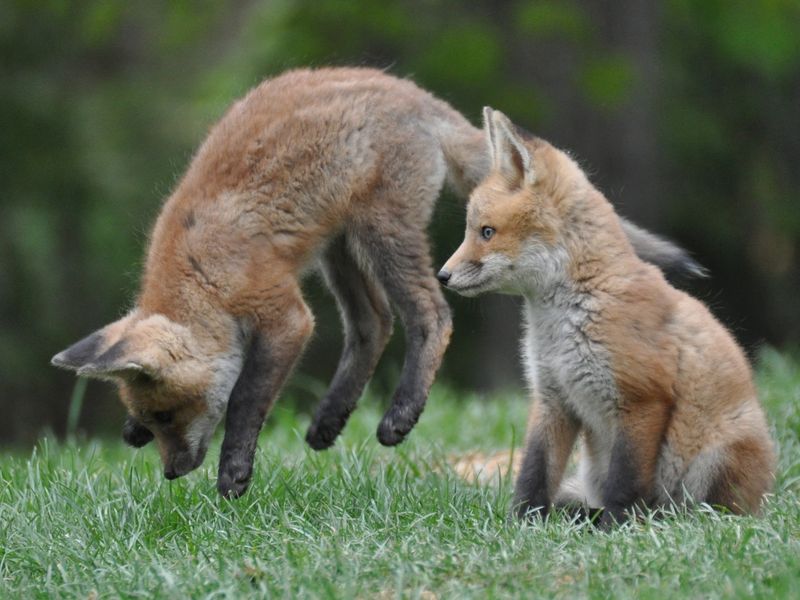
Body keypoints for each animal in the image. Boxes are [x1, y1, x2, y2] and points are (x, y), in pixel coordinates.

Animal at [51, 67, 704, 499]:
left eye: (167, 417)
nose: (170, 472)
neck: (200, 273)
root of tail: (412, 93)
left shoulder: (285, 316)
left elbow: (244, 399)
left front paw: (233, 472)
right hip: (338, 247)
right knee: (374, 324)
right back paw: (330, 419)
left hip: (379, 234)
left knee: (429, 314)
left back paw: (401, 414)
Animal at [438, 107, 776, 526]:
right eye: (473, 231)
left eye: (487, 232)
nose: (442, 276)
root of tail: (762, 500)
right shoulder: (552, 398)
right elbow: (534, 471)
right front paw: (522, 522)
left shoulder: (642, 397)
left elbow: (625, 480)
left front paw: (614, 528)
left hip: (716, 459)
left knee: (697, 512)